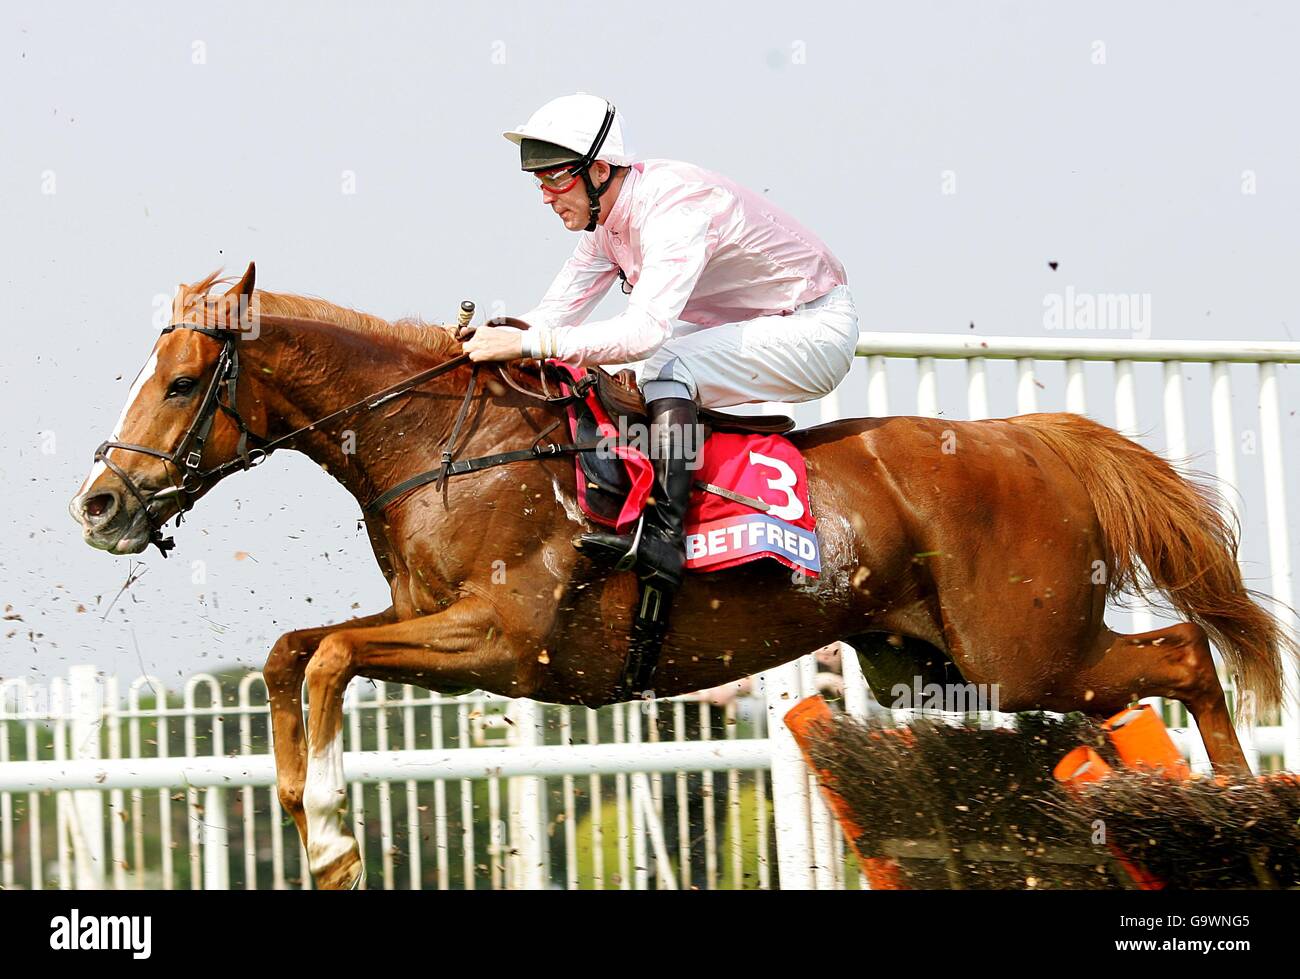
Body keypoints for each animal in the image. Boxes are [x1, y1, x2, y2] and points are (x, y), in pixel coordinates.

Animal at [70, 263, 1296, 888]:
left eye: (178, 382)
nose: (101, 505)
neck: (443, 439)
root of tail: (1035, 440)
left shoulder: (499, 640)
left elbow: (325, 654)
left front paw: (329, 832)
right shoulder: (432, 624)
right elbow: (294, 651)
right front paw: (305, 813)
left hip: (1024, 647)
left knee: (1186, 653)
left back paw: (1237, 810)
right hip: (938, 666)